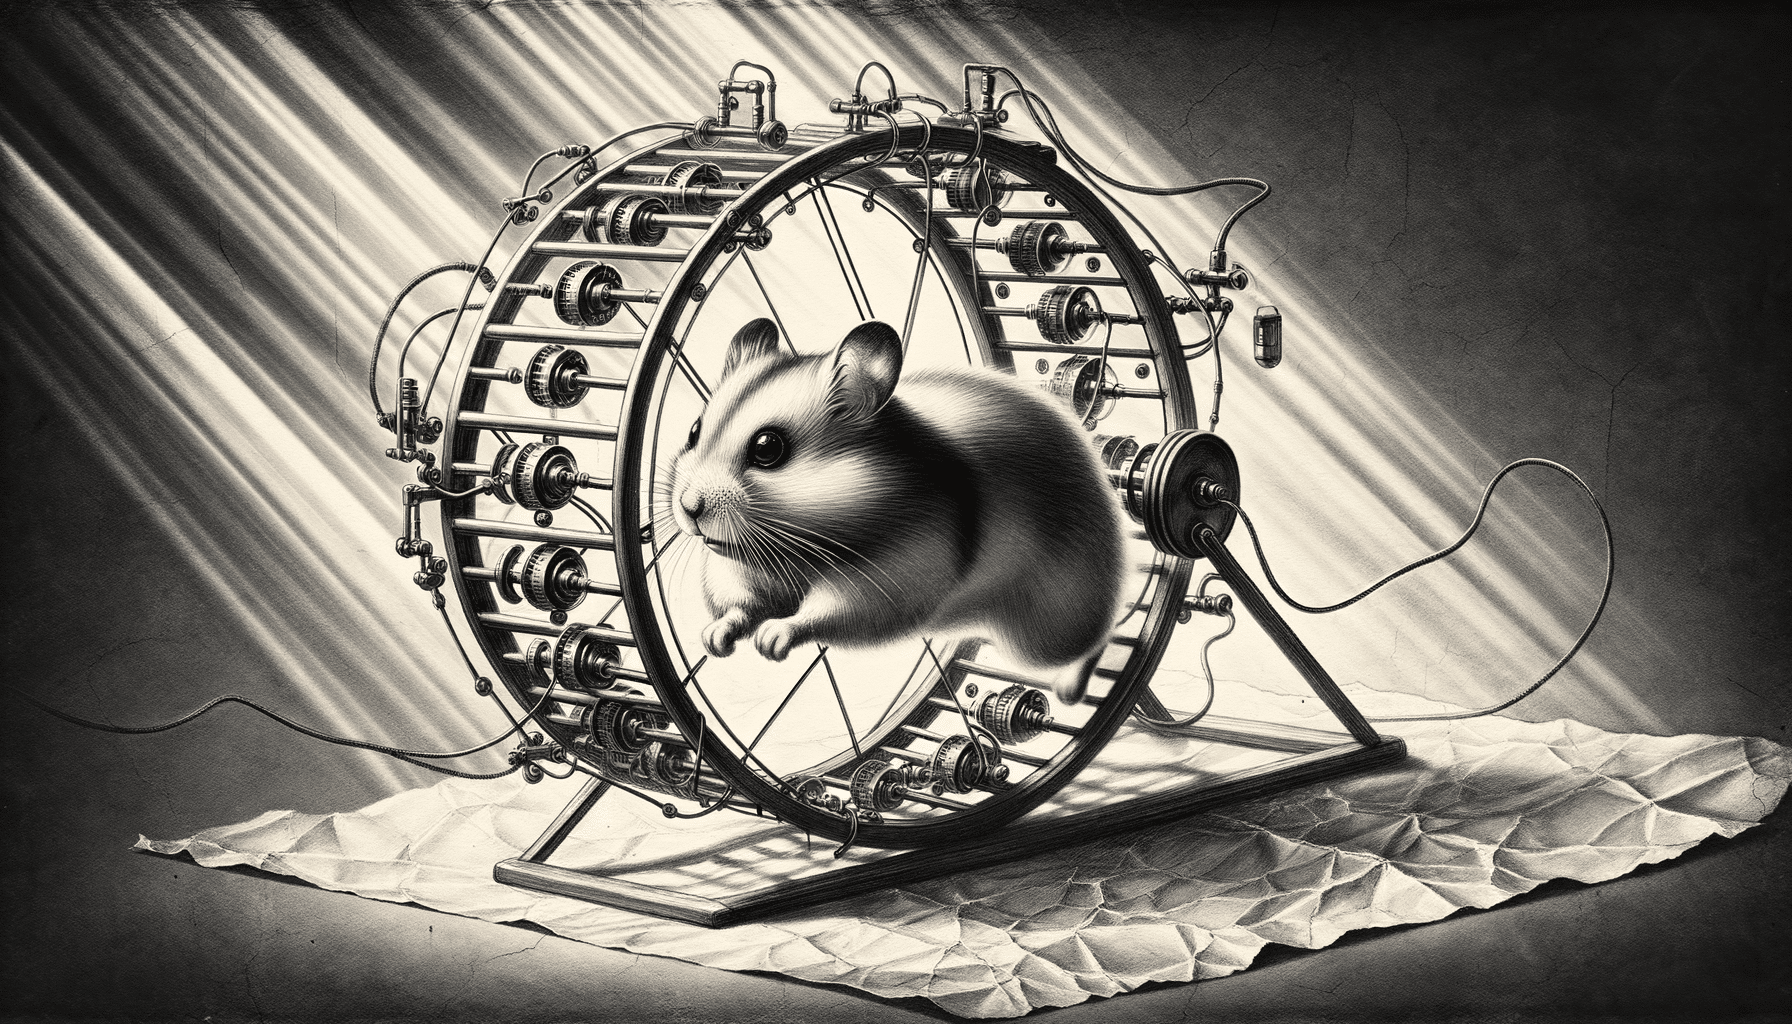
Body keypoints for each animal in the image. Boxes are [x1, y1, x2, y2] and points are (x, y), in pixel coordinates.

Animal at [662, 317, 1124, 704]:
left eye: (767, 448)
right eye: (693, 432)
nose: (688, 508)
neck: (793, 549)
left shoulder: (887, 578)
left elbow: (818, 614)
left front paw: (770, 640)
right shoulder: (736, 573)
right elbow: (739, 607)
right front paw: (713, 639)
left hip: (1050, 625)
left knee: (1101, 634)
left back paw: (1068, 690)